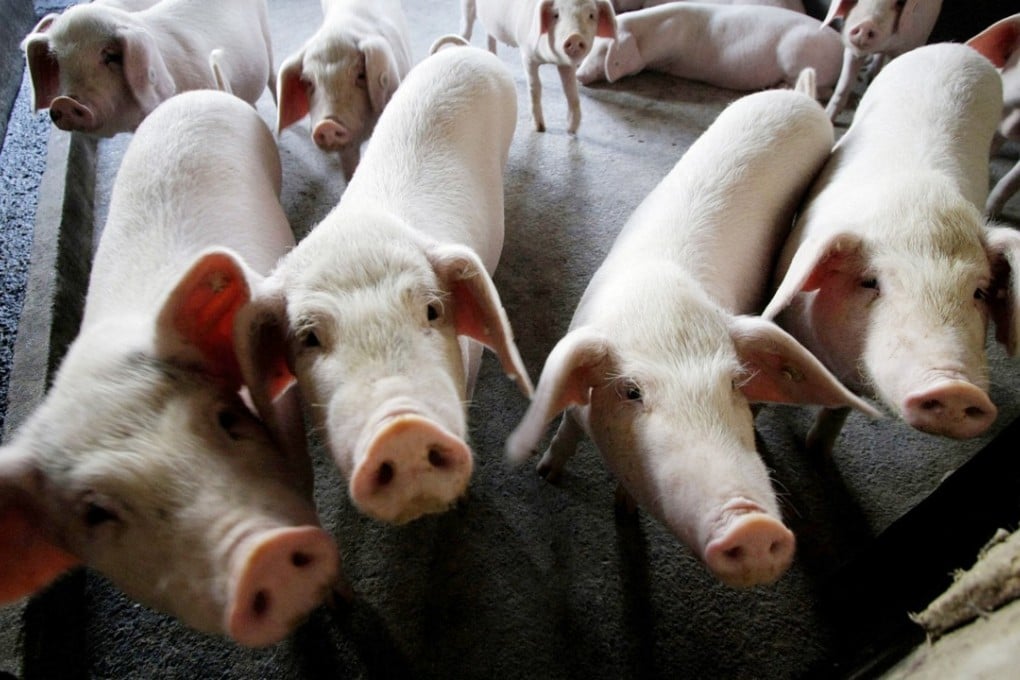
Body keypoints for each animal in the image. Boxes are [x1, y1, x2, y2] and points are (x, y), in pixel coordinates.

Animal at [460, 0, 618, 133]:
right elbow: (535, 87)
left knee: (490, 35)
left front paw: (572, 130)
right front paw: (540, 128)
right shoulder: (527, 55)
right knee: (467, 26)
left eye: (591, 15)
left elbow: (570, 91)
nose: (575, 37)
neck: (549, 59)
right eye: (556, 15)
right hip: (468, 6)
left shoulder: (566, 64)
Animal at [505, 78, 879, 588]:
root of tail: (800, 98)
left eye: (735, 384)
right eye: (632, 391)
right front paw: (546, 474)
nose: (753, 525)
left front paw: (623, 510)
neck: (660, 306)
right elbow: (565, 429)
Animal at [762, 44, 1017, 456]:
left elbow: (838, 410)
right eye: (872, 282)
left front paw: (817, 450)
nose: (955, 388)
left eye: (978, 292)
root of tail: (957, 48)